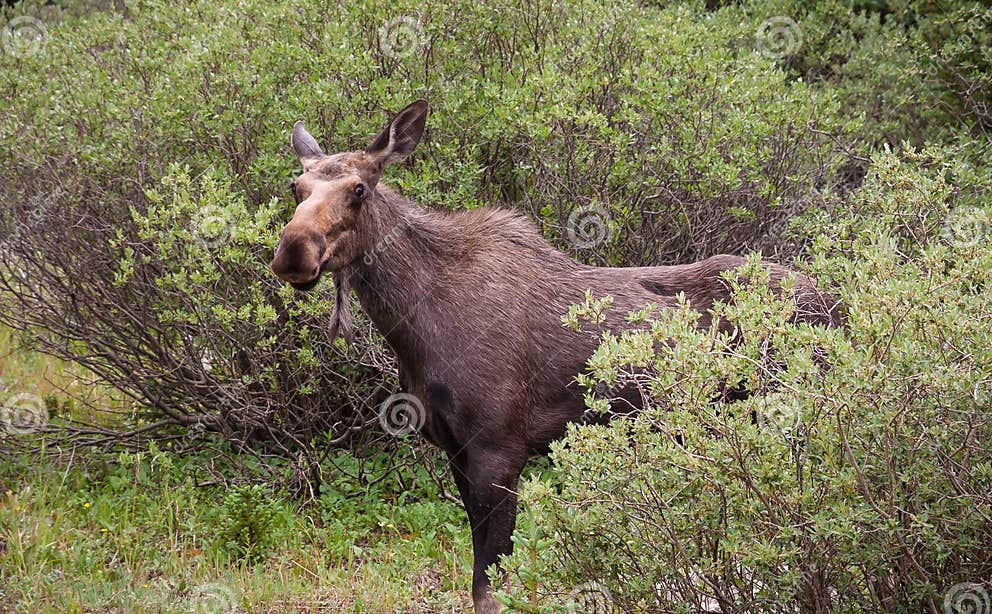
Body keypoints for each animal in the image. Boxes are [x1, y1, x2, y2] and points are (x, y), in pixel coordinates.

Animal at [270, 100, 841, 613]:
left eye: (359, 189)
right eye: (297, 188)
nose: (294, 249)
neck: (413, 326)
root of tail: (836, 299)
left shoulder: (500, 448)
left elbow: (489, 590)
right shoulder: (455, 451)